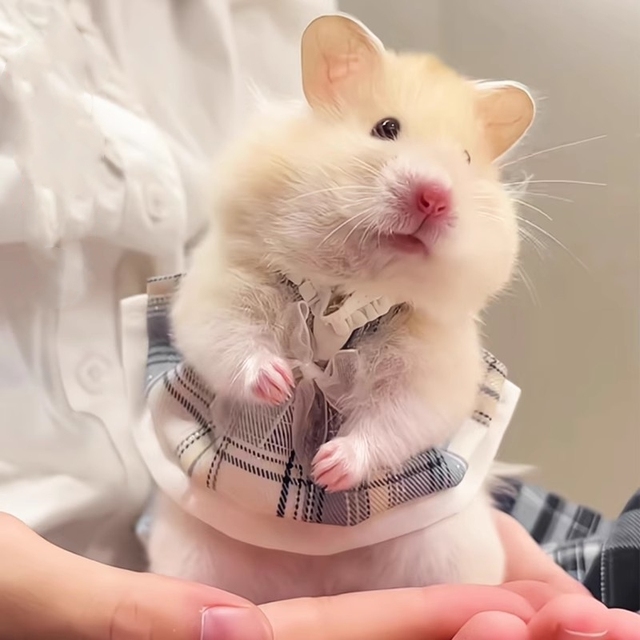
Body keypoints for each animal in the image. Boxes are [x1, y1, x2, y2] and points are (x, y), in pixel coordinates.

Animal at [147, 14, 535, 603]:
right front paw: (280, 382)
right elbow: (235, 342)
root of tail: (320, 585)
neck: (348, 284)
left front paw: (330, 466)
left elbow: (392, 420)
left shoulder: (428, 370)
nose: (435, 197)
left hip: (451, 549)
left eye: (467, 161)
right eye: (386, 128)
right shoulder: (223, 292)